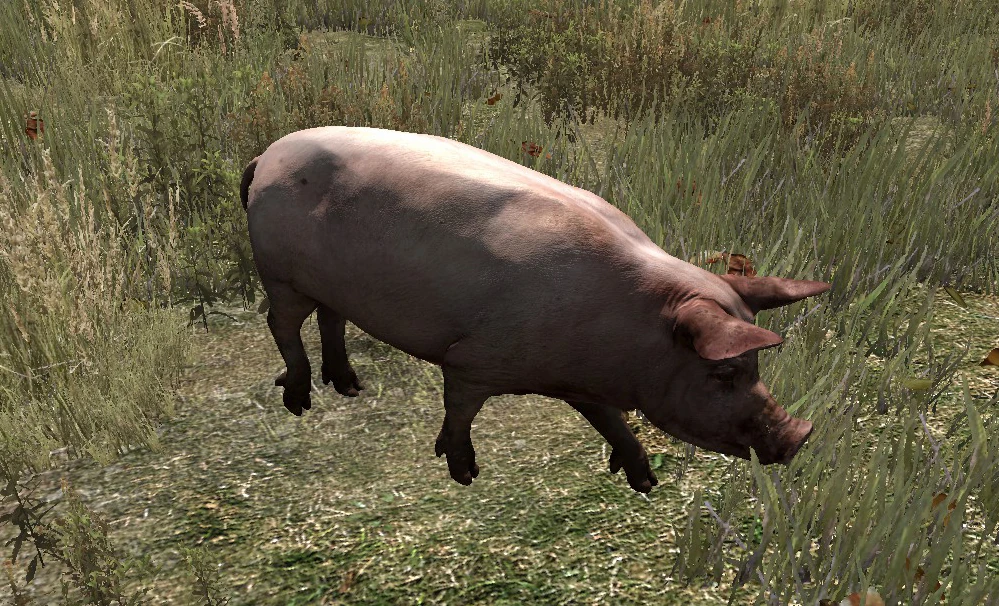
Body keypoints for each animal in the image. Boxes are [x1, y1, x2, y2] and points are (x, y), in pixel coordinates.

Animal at [240, 126, 830, 493]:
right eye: (725, 373)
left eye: (756, 367)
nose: (801, 434)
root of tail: (266, 155)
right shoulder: (472, 359)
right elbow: (460, 412)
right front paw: (463, 474)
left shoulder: (586, 382)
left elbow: (613, 423)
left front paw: (644, 483)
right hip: (279, 272)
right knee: (281, 325)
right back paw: (299, 402)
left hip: (328, 284)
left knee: (331, 318)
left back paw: (350, 388)